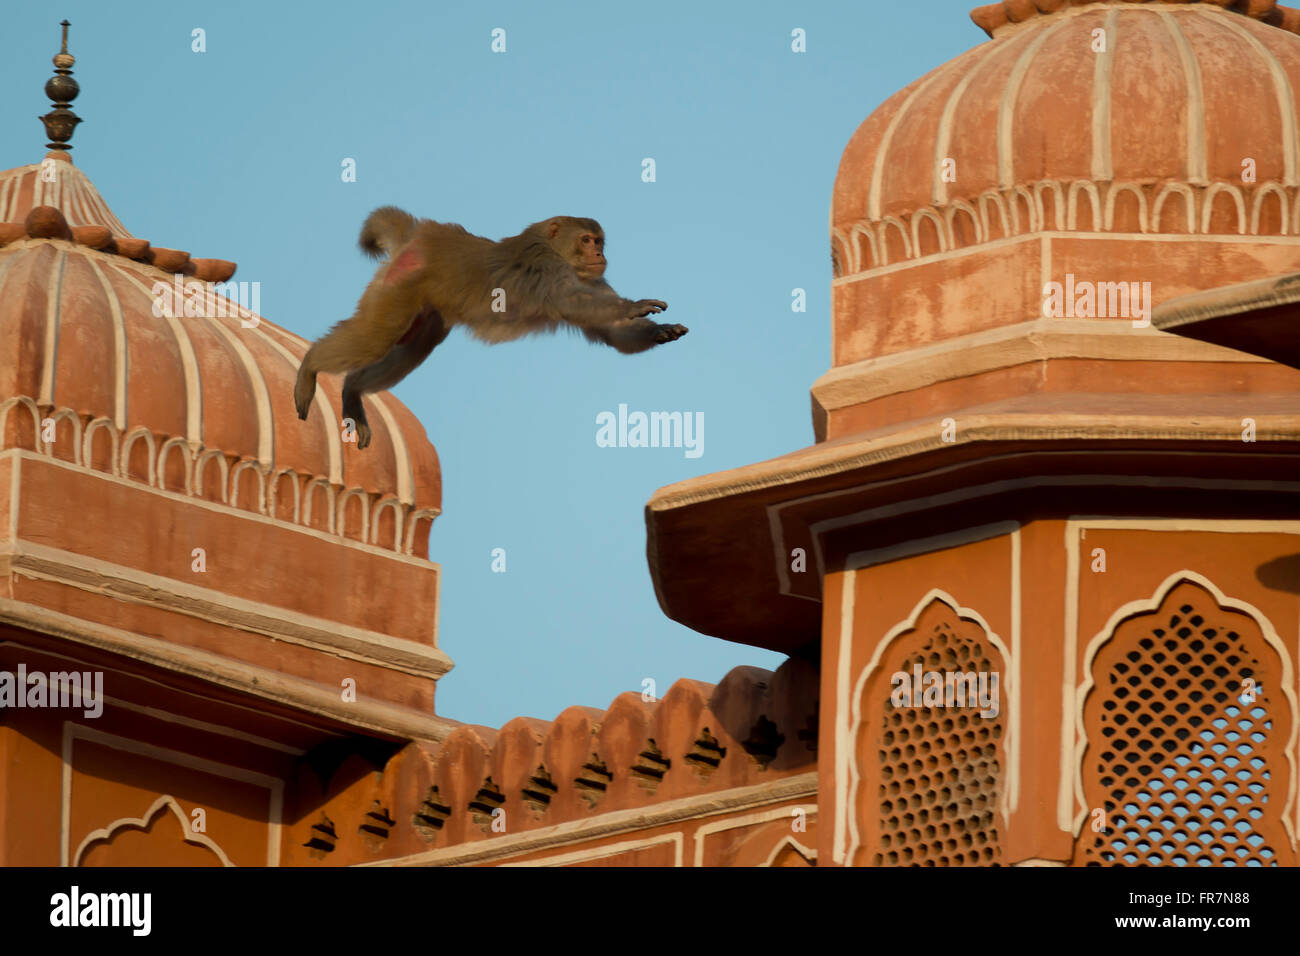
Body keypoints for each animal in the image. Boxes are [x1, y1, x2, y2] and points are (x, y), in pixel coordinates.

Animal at [294, 207, 687, 449]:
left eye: (599, 241)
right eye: (587, 240)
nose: (600, 255)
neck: (555, 249)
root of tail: (420, 234)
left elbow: (613, 331)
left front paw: (659, 331)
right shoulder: (545, 267)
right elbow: (572, 301)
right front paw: (636, 306)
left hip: (421, 304)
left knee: (414, 347)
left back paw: (352, 390)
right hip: (400, 286)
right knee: (376, 337)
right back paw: (311, 366)